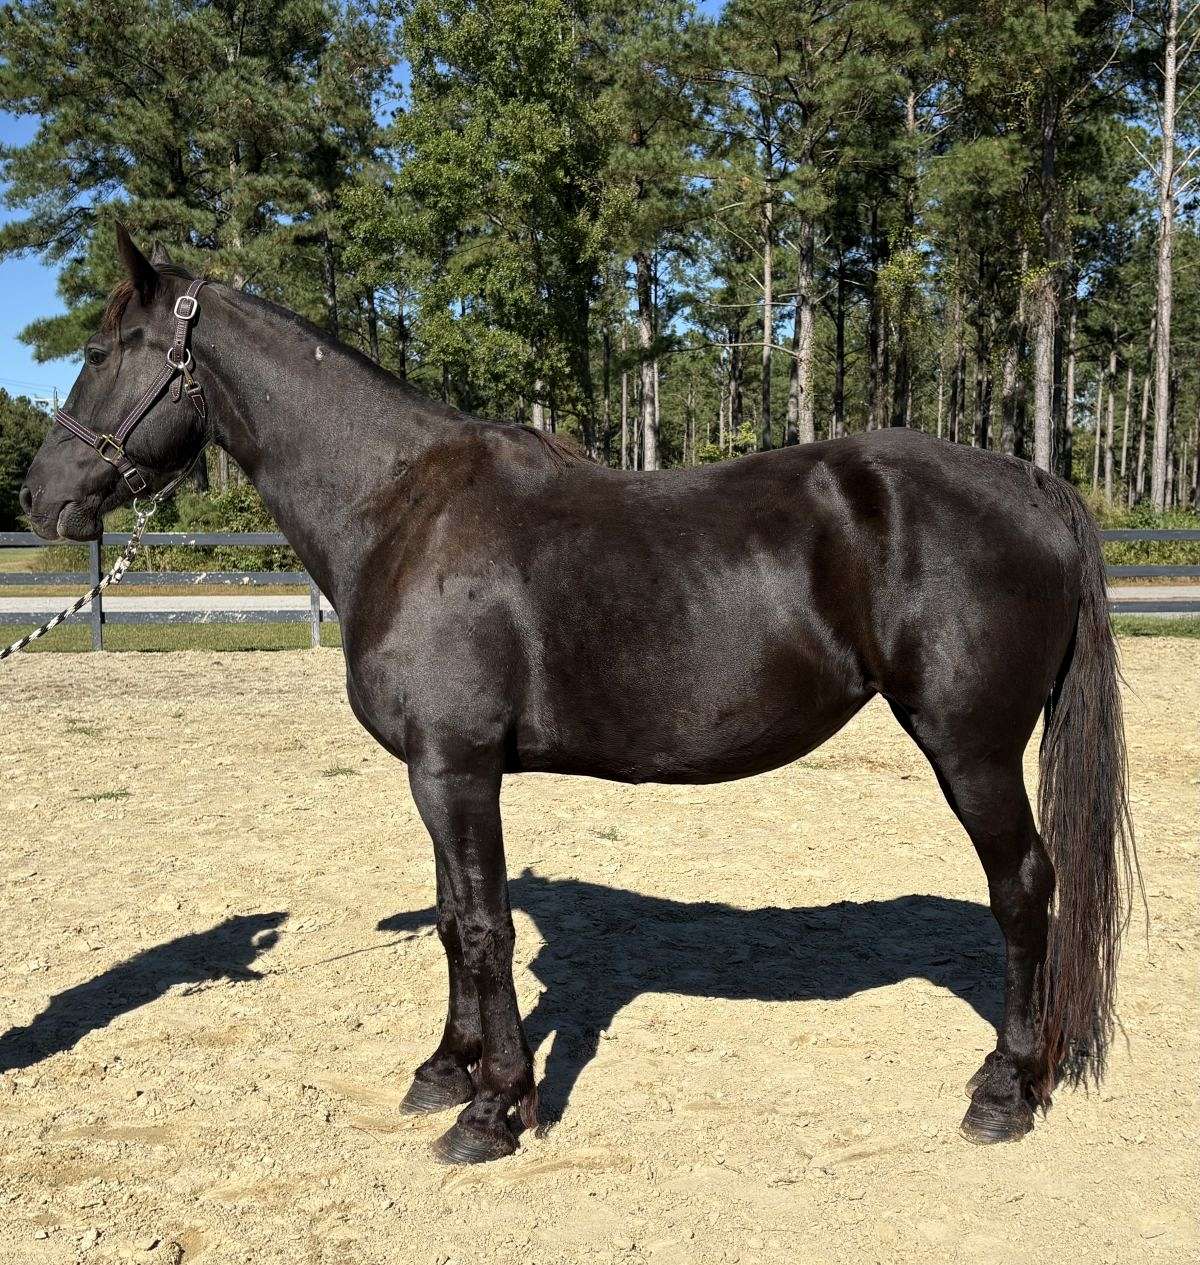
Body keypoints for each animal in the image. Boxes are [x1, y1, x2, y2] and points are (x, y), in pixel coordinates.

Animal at [19, 225, 1135, 1164]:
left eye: (109, 348)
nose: (40, 497)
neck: (401, 510)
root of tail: (1030, 480)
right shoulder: (440, 770)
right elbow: (450, 917)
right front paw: (446, 1069)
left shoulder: (457, 768)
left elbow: (484, 927)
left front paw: (493, 1107)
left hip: (971, 749)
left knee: (1023, 886)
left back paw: (1005, 1087)